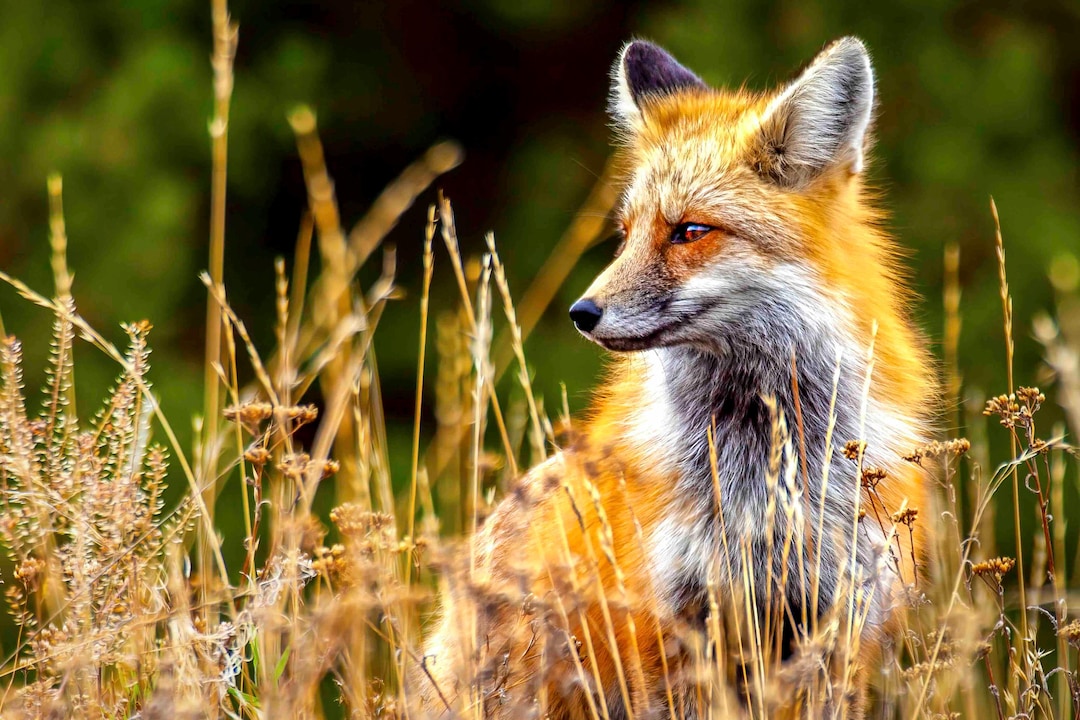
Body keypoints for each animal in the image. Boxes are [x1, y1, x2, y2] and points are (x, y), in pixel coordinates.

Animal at [413, 37, 936, 719]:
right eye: (625, 233)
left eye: (689, 231)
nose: (582, 313)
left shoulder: (838, 622)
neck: (754, 474)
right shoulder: (668, 629)